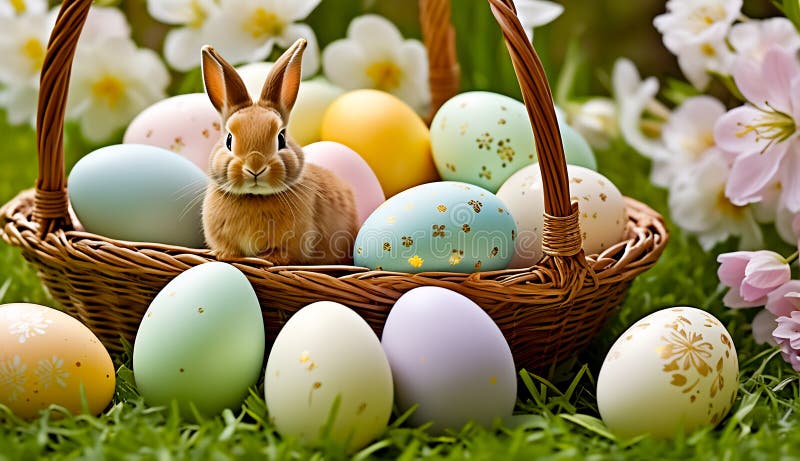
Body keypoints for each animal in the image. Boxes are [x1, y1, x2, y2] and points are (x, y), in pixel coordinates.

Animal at [200, 39, 358, 265]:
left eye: (281, 138)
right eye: (229, 140)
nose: (255, 167)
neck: (254, 197)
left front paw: (270, 260)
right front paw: (225, 256)